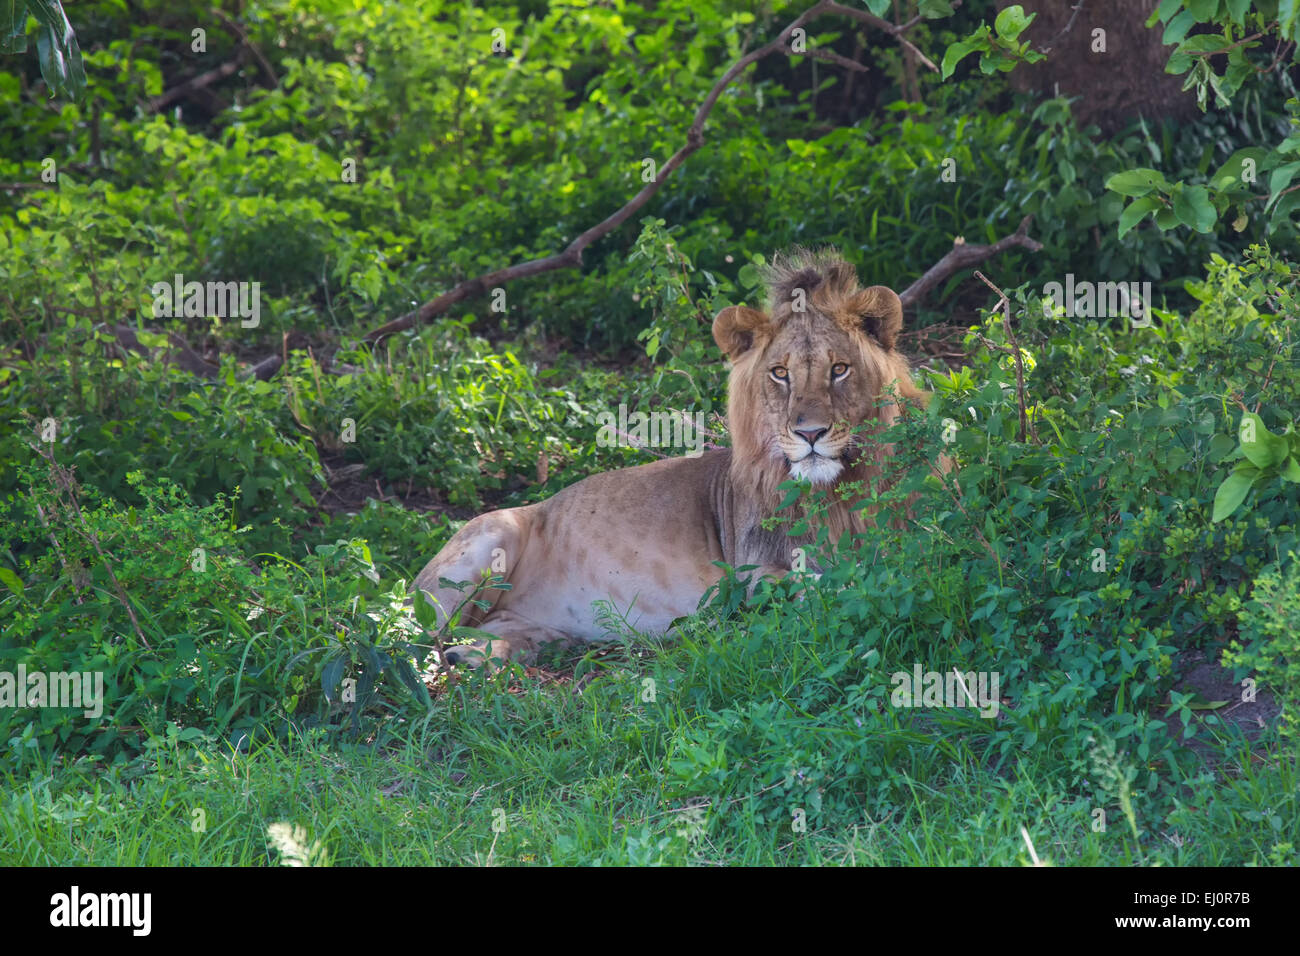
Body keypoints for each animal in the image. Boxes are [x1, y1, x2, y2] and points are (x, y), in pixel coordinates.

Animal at [412, 248, 936, 666]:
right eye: (780, 373)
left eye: (840, 369)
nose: (810, 433)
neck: (833, 494)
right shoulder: (752, 576)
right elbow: (830, 585)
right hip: (491, 536)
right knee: (419, 638)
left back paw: (490, 654)